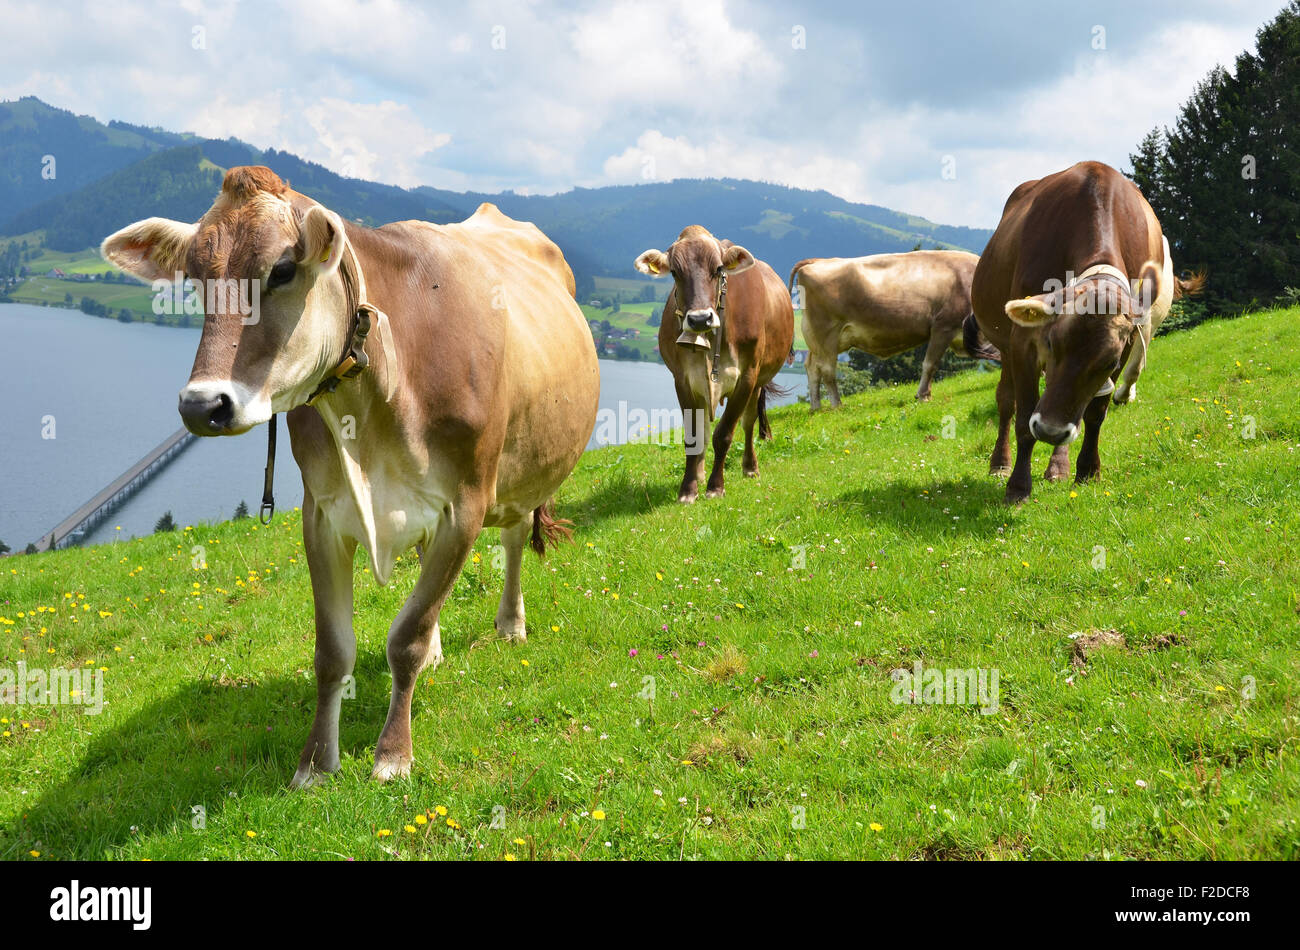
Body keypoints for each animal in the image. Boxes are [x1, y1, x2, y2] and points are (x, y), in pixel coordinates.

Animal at [102, 166, 600, 786]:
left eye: (282, 270)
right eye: (195, 279)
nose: (201, 406)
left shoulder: (465, 505)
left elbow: (406, 638)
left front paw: (393, 754)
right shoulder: (322, 515)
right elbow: (332, 651)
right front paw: (316, 763)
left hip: (522, 469)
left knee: (510, 541)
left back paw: (510, 624)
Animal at [634, 226, 794, 502]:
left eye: (719, 269)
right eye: (674, 272)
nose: (699, 319)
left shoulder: (746, 377)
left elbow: (725, 433)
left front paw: (716, 487)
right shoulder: (683, 380)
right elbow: (694, 436)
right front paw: (689, 489)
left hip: (758, 382)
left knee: (749, 422)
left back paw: (750, 467)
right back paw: (699, 472)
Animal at [789, 250, 999, 409]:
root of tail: (818, 261)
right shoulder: (944, 326)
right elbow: (930, 364)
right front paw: (923, 395)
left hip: (819, 339)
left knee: (812, 367)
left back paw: (816, 407)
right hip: (826, 334)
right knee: (827, 369)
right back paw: (837, 405)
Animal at [970, 160, 1198, 503]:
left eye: (1108, 361)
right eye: (1051, 344)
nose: (1050, 430)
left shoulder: (1126, 346)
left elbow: (1094, 414)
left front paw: (1087, 470)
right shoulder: (1023, 342)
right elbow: (1023, 418)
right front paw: (1018, 486)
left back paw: (1058, 466)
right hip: (1005, 345)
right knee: (1006, 400)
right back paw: (1000, 462)